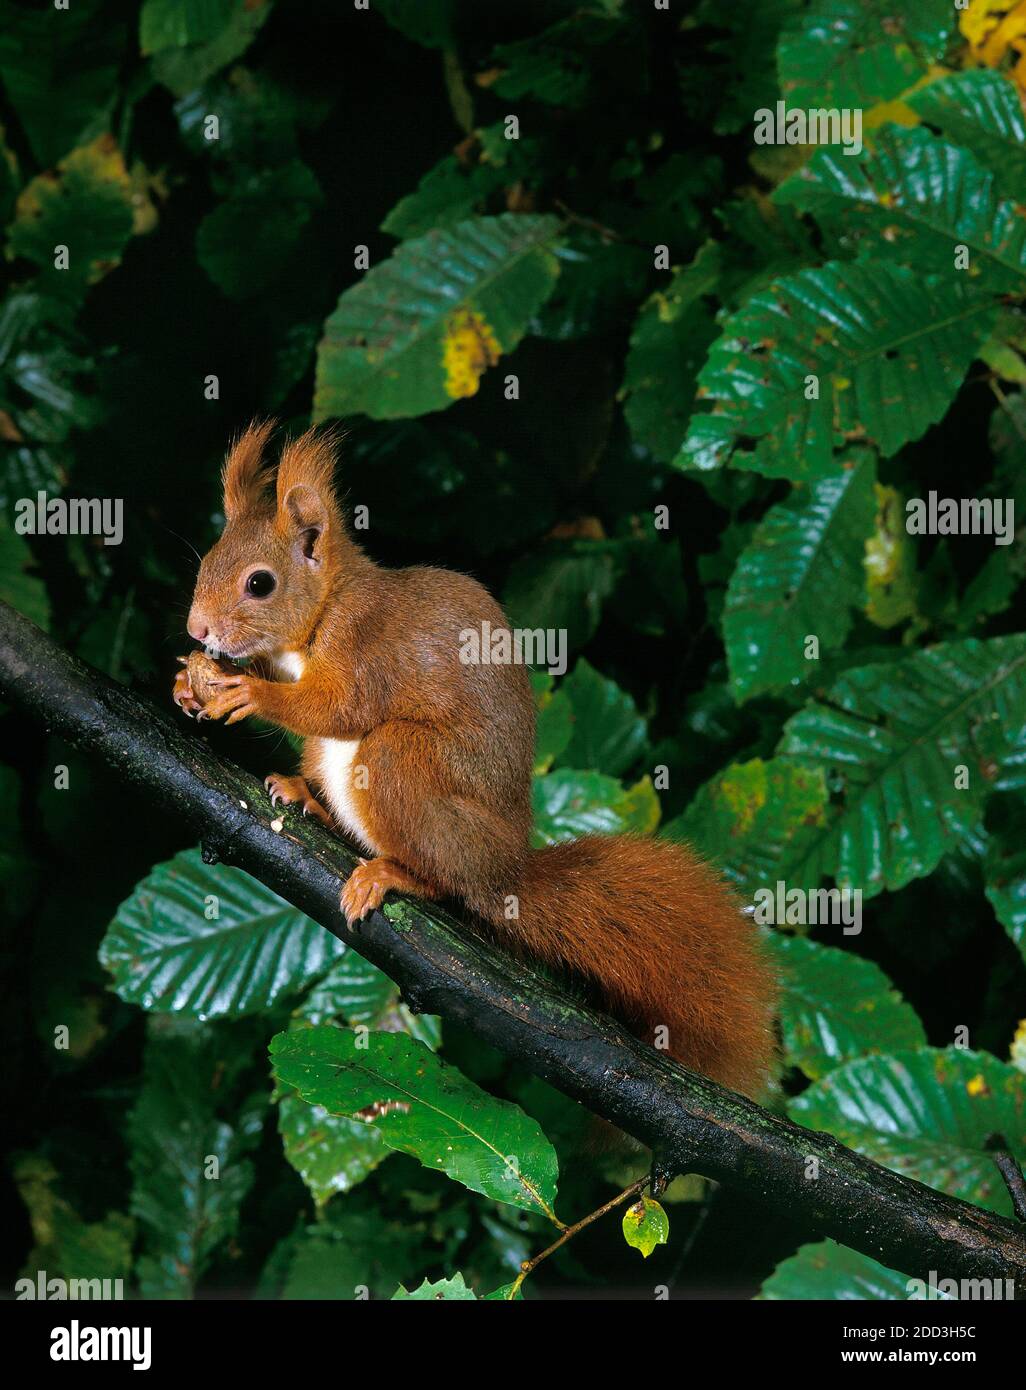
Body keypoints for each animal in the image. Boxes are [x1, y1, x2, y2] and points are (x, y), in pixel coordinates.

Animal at [174, 422, 777, 1098]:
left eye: (260, 583)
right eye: (207, 560)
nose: (198, 630)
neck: (327, 603)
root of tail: (501, 871)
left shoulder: (364, 645)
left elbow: (339, 706)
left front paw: (248, 693)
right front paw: (187, 685)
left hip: (407, 771)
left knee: (442, 874)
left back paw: (394, 875)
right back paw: (309, 798)